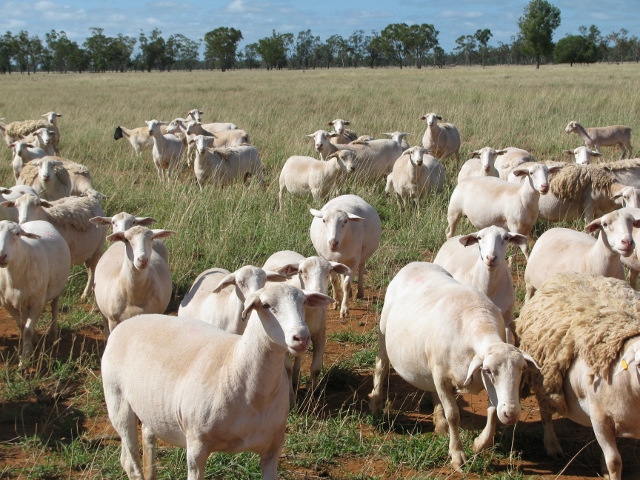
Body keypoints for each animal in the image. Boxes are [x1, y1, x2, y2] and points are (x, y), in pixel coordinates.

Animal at [0, 220, 70, 362]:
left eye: (17, 233)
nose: (1, 256)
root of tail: (38, 220)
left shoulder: (38, 302)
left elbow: (27, 330)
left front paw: (25, 358)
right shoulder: (5, 302)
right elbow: (23, 326)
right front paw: (30, 347)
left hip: (57, 289)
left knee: (54, 309)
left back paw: (52, 336)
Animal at [101, 283, 332, 480]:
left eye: (303, 302)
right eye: (266, 305)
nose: (301, 337)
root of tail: (130, 322)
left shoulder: (273, 448)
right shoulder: (196, 448)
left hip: (152, 408)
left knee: (148, 438)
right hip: (118, 402)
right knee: (129, 461)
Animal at [263, 250, 350, 401]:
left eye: (329, 271)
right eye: (301, 271)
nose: (318, 291)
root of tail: (283, 251)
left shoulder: (320, 335)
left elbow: (316, 369)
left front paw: (313, 395)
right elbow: (287, 369)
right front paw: (291, 397)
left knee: (299, 357)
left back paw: (296, 379)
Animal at [369, 262, 536, 471]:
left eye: (522, 369)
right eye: (488, 370)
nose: (512, 414)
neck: (476, 319)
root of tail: (416, 263)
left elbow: (492, 411)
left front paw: (480, 443)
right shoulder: (443, 377)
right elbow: (454, 415)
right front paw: (457, 455)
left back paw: (439, 424)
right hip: (384, 335)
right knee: (381, 368)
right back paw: (376, 405)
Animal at [516, 273, 640, 480]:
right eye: (638, 363)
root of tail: (567, 274)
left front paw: (605, 468)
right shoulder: (600, 418)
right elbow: (615, 462)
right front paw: (610, 471)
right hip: (546, 380)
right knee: (545, 412)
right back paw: (553, 447)